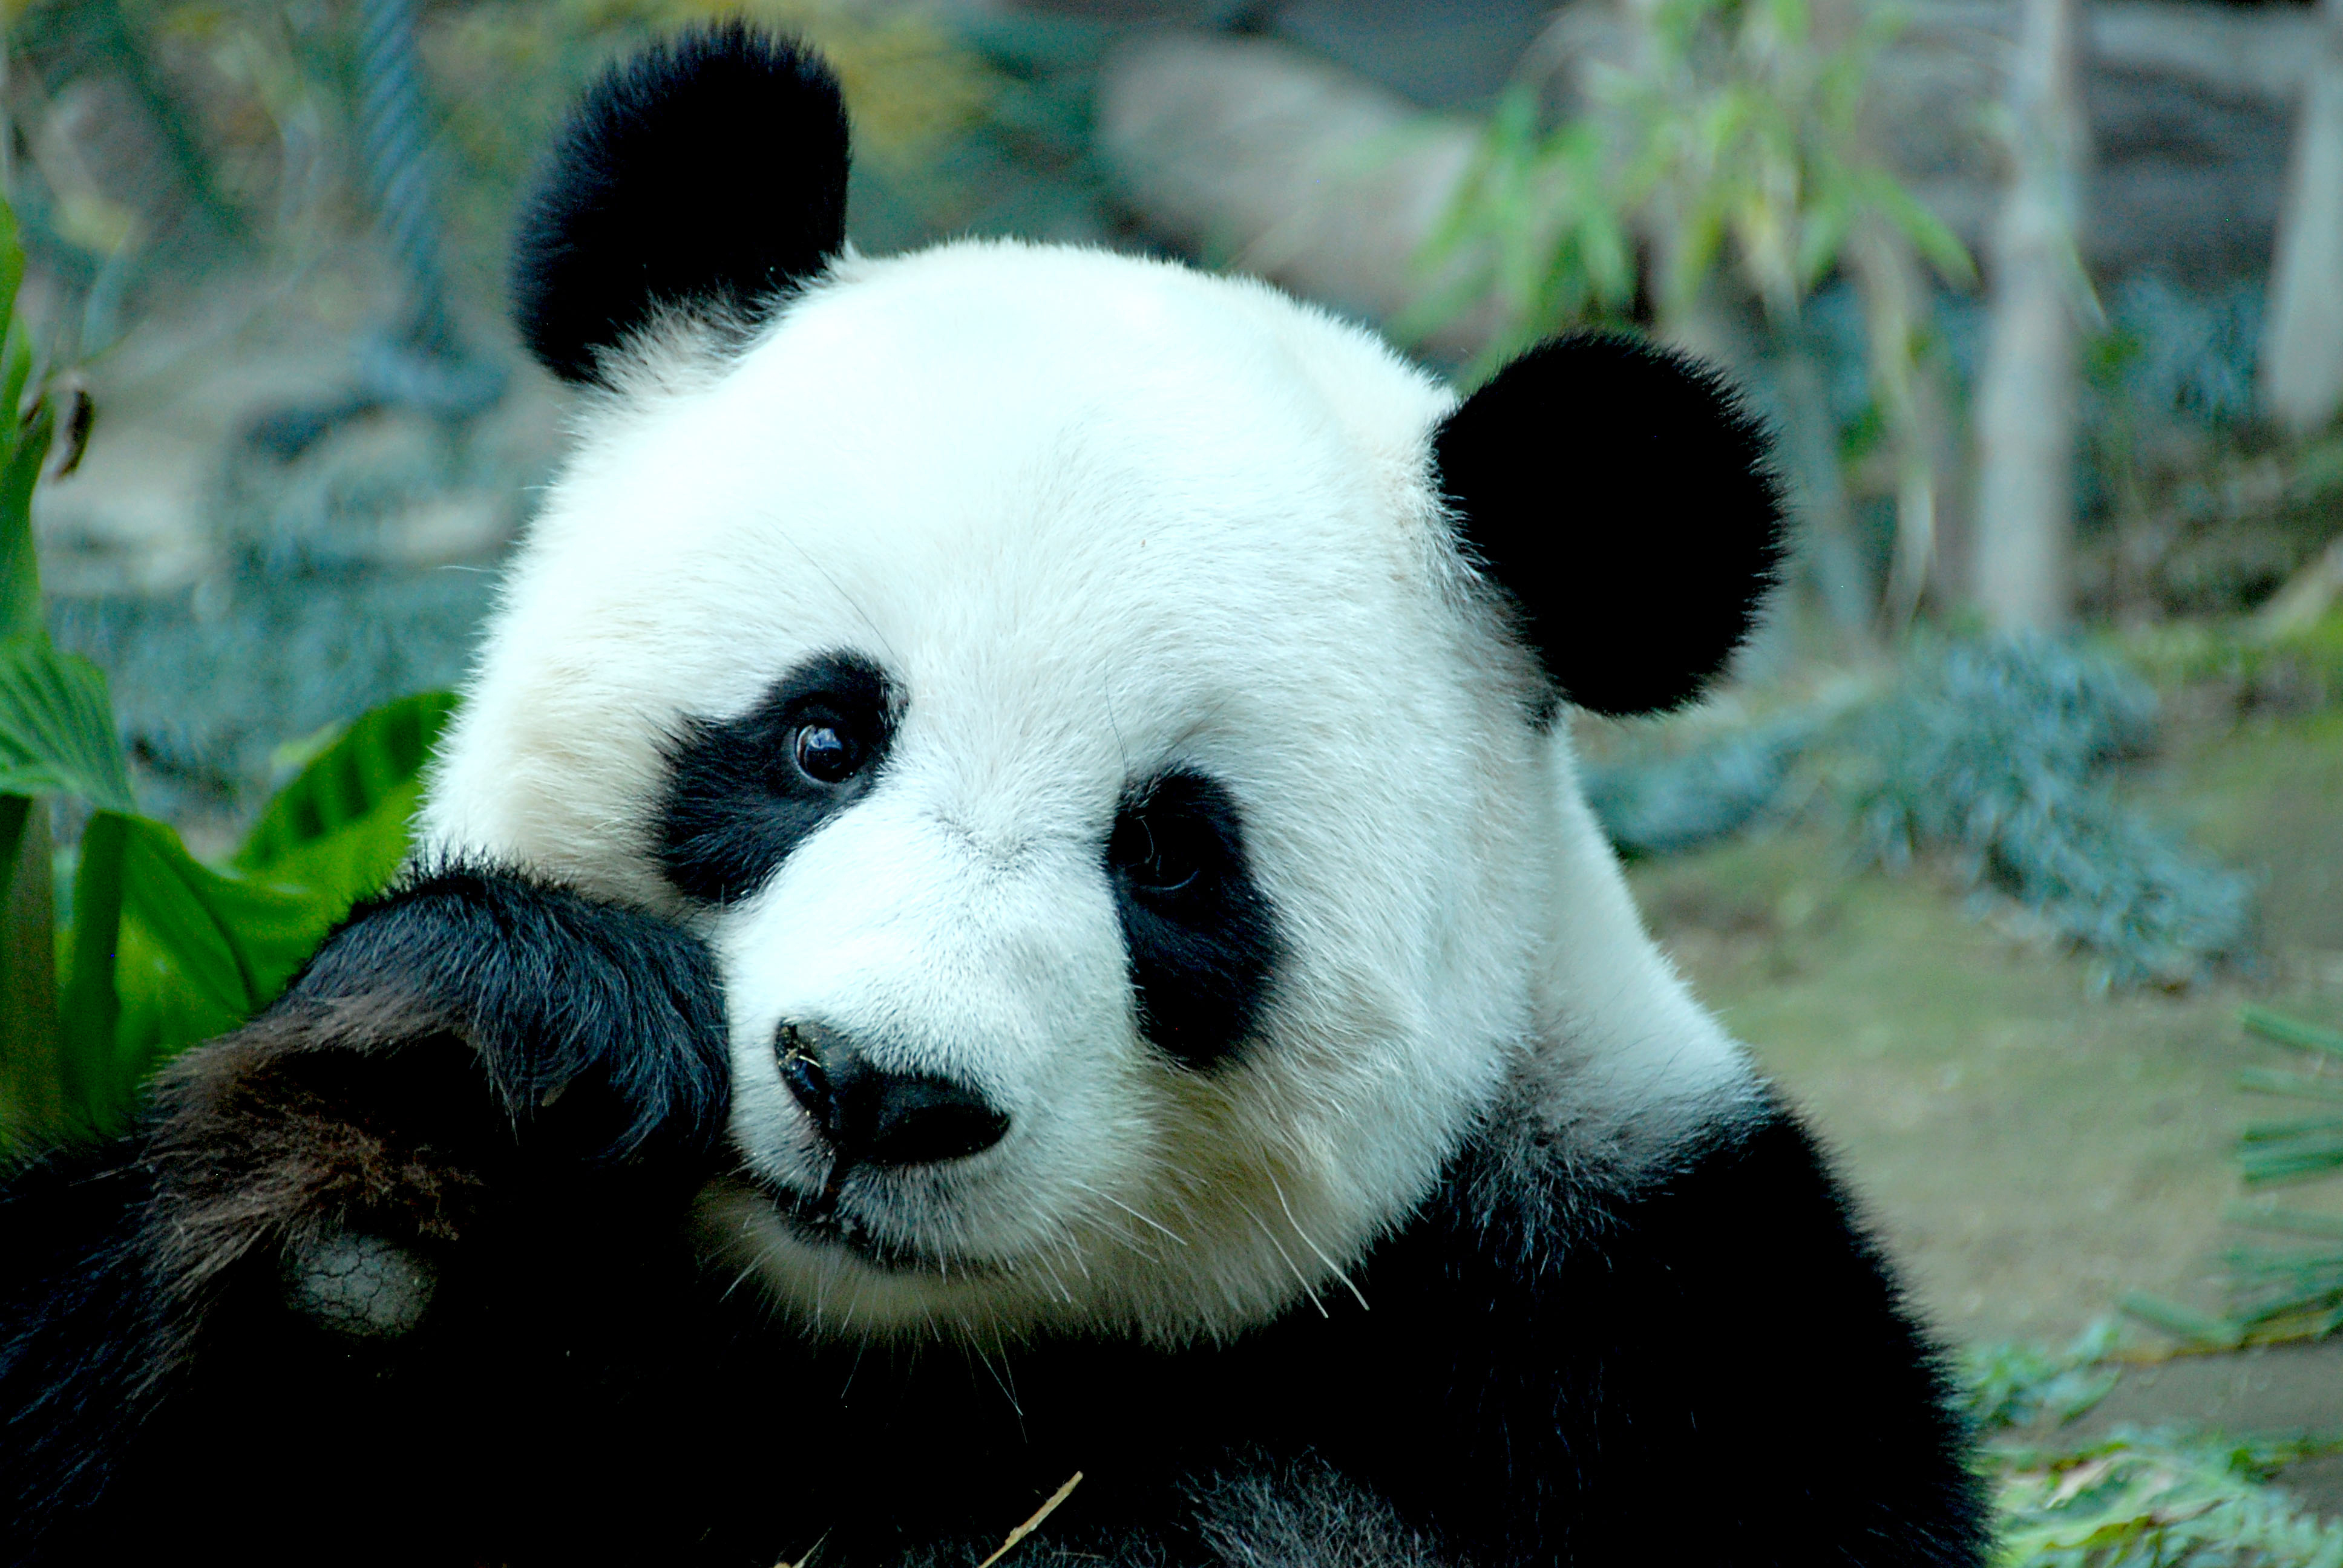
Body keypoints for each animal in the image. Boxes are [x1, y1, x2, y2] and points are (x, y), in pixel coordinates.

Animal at [0, 27, 1988, 1568]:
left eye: (1171, 858)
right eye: (820, 740)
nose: (878, 1091)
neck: (876, 1361)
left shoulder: (1638, 1327)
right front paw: (440, 1108)